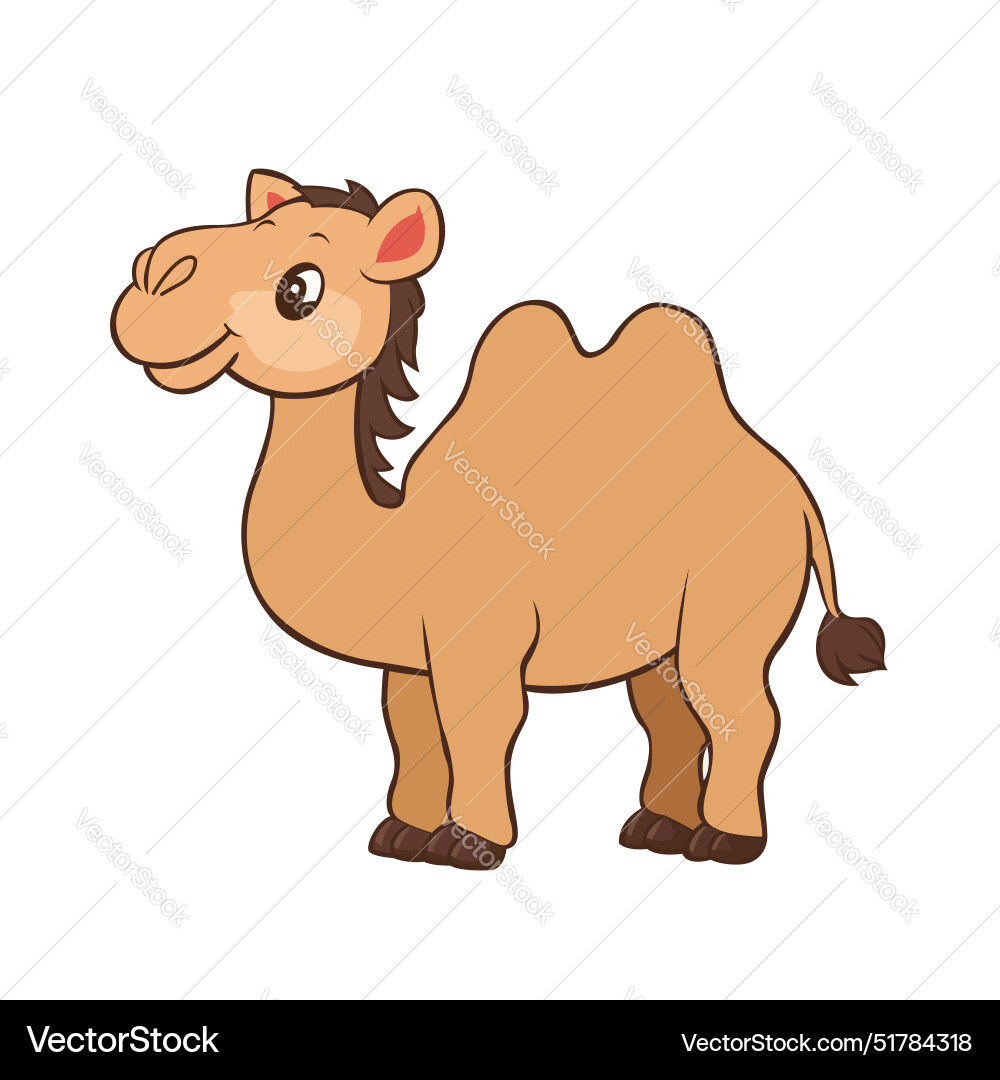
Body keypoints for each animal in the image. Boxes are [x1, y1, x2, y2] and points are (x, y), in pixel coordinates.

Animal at [111, 169, 886, 869]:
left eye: (299, 289)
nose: (151, 275)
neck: (397, 533)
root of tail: (797, 489)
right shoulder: (414, 656)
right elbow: (413, 731)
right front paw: (403, 835)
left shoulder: (479, 635)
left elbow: (482, 727)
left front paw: (470, 845)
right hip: (663, 621)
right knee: (670, 707)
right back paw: (658, 831)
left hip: (736, 586)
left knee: (737, 705)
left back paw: (727, 843)